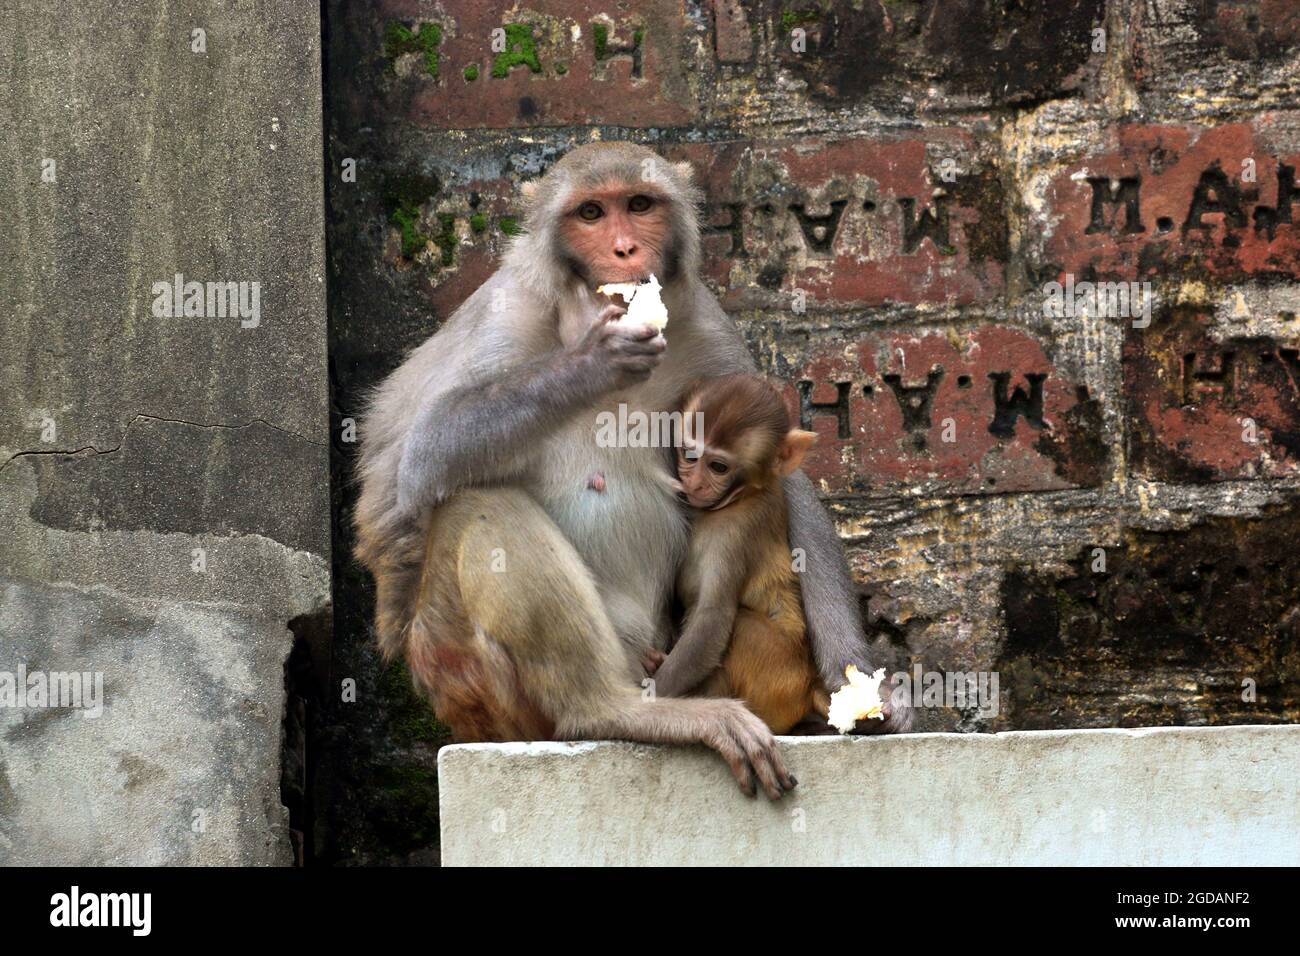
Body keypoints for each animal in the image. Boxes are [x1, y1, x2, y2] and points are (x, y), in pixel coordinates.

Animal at [650, 374, 831, 734]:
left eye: (718, 466)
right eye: (690, 456)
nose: (695, 482)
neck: (743, 495)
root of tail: (807, 688)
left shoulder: (734, 533)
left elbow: (713, 619)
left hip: (777, 678)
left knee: (742, 626)